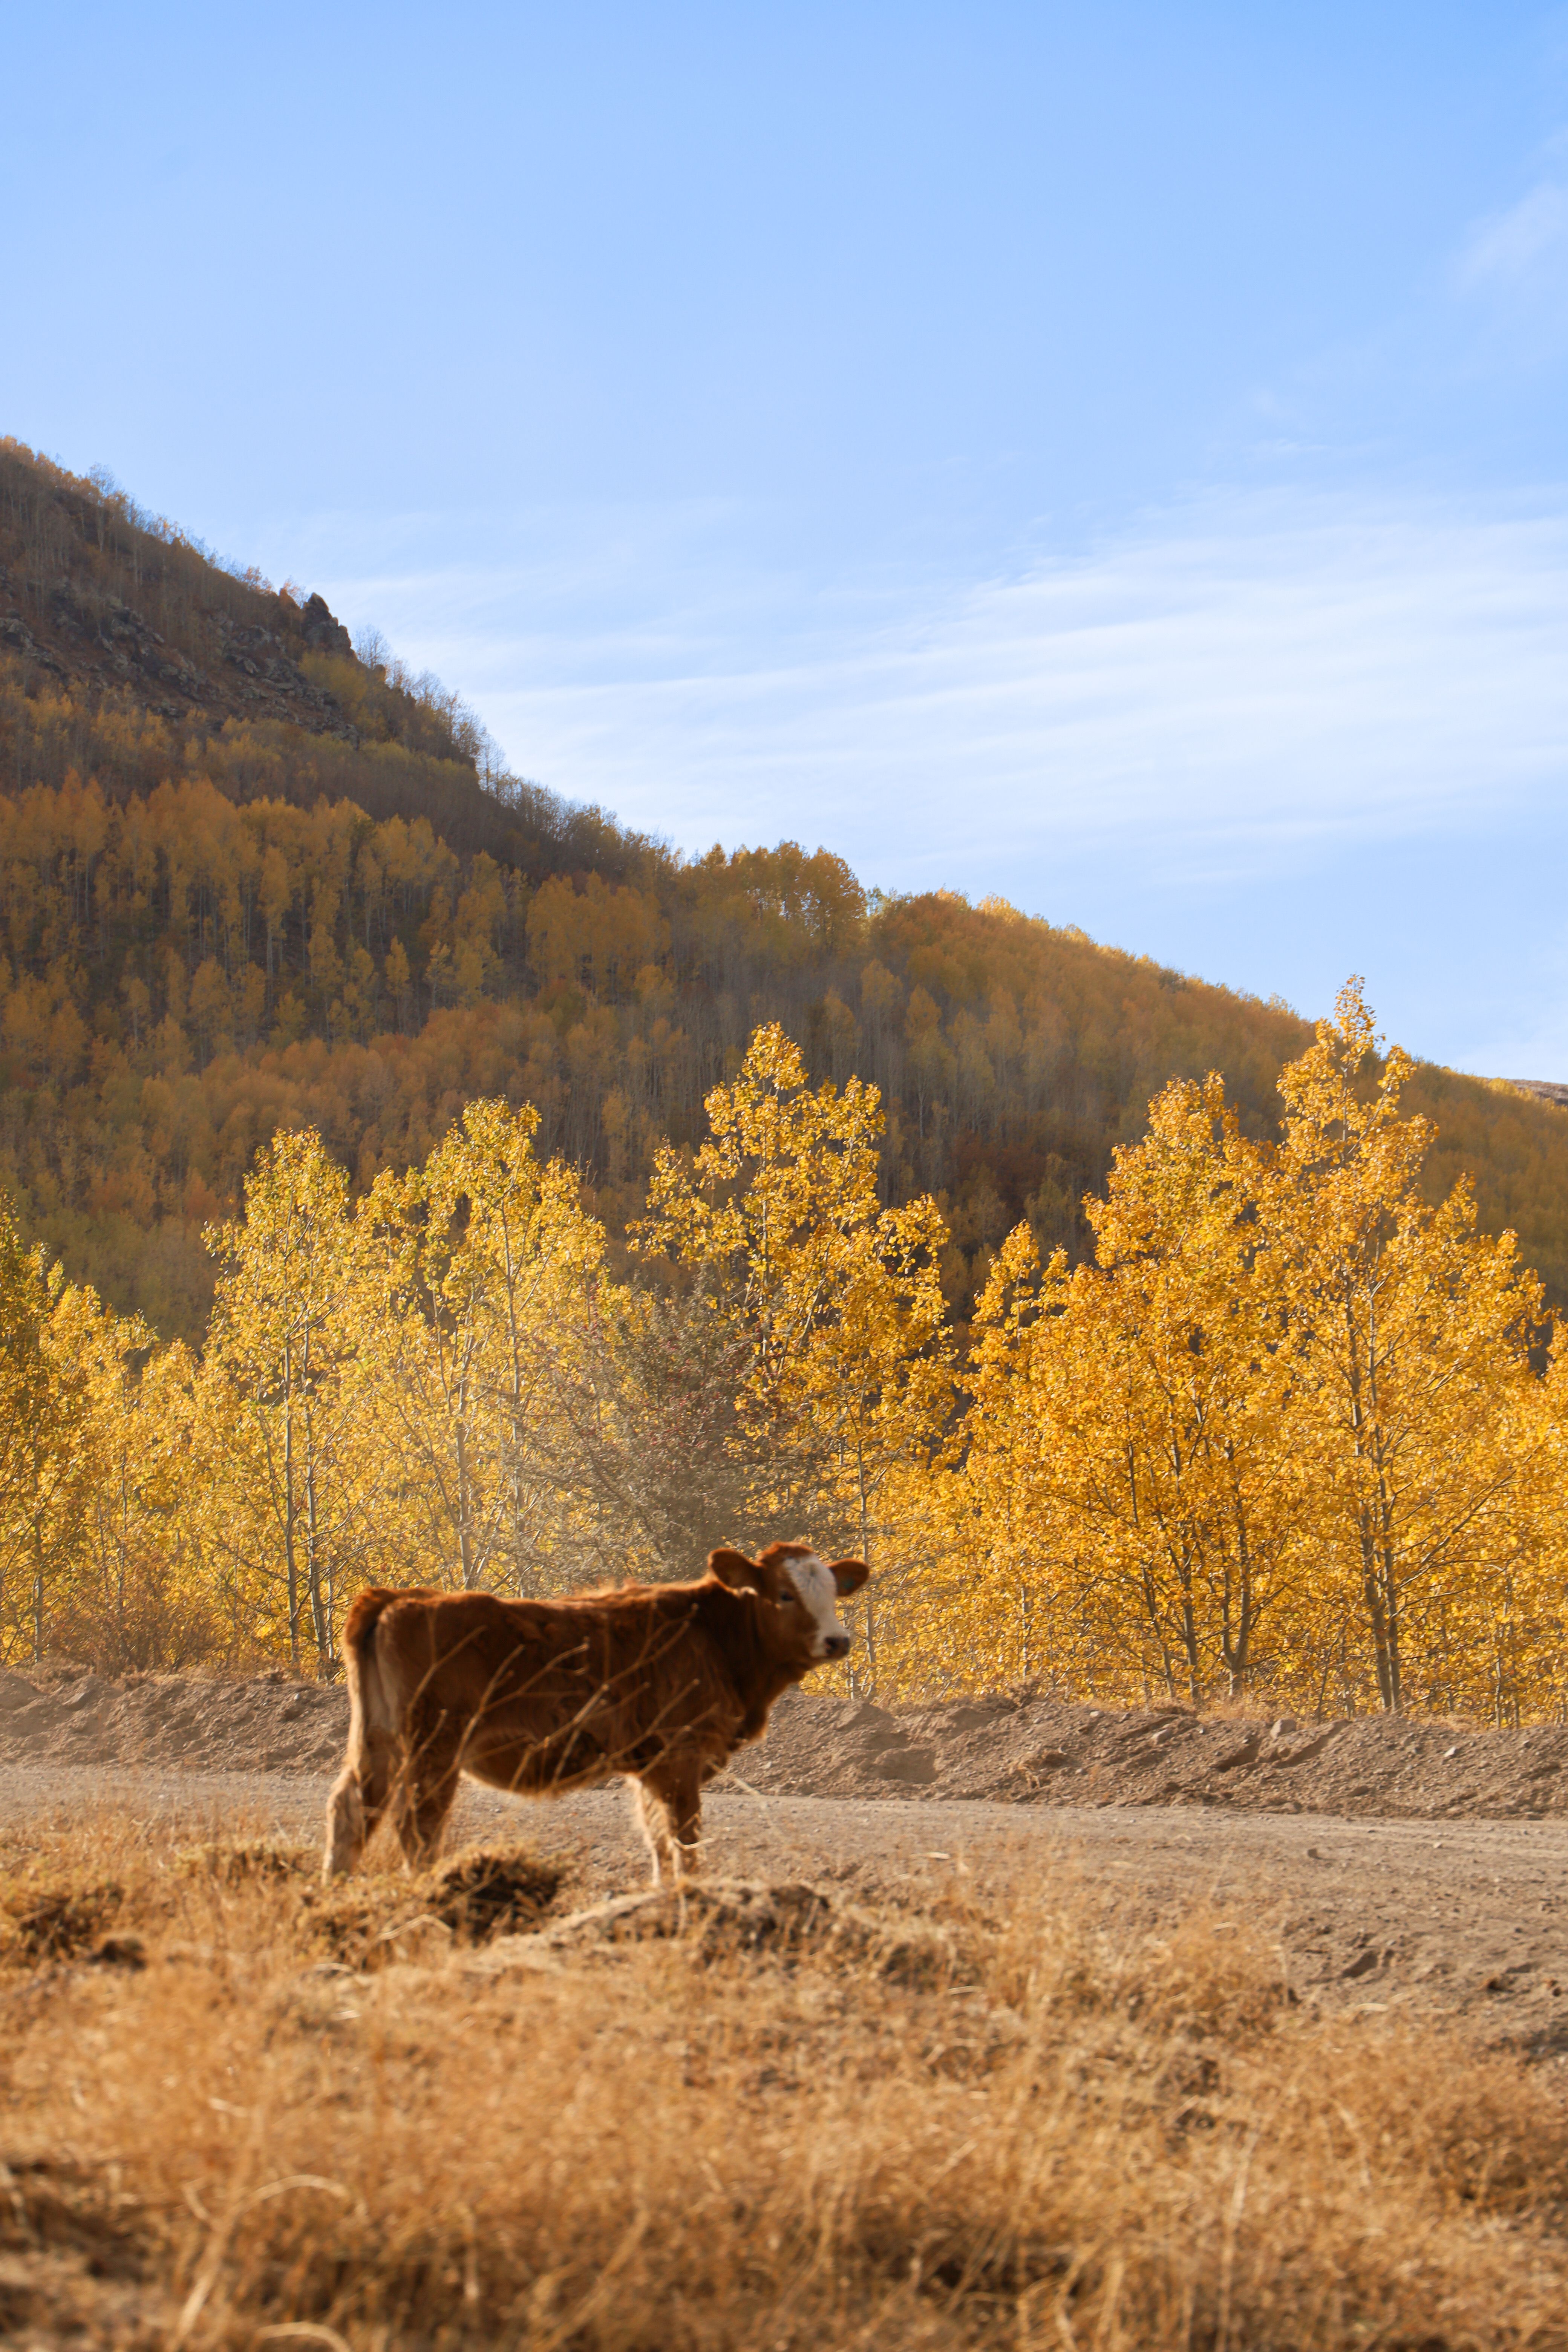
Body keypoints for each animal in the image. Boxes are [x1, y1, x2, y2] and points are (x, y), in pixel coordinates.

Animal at [322, 1542, 870, 1887]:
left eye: (833, 1592)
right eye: (784, 1594)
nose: (837, 1641)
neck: (713, 1636)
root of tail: (398, 1597)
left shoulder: (649, 1766)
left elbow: (658, 1841)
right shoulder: (680, 1755)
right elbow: (685, 1838)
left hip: (377, 1741)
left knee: (352, 1808)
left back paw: (336, 1887)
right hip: (434, 1746)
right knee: (418, 1823)